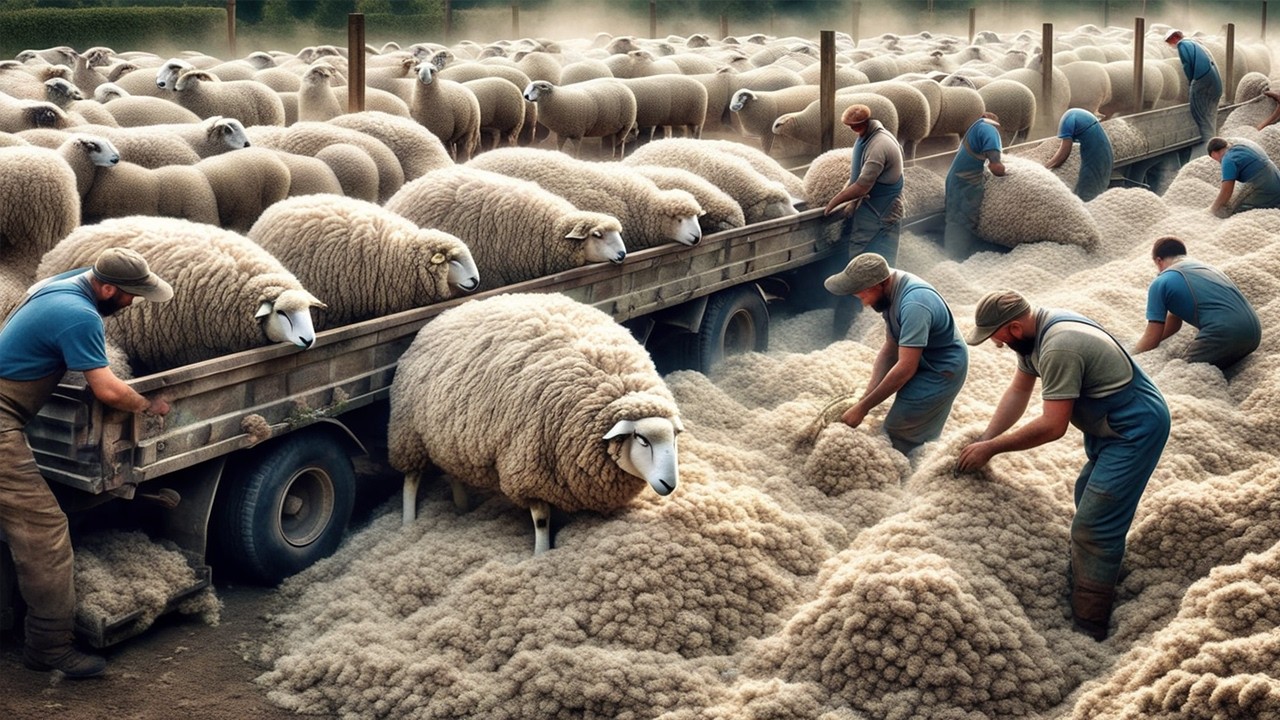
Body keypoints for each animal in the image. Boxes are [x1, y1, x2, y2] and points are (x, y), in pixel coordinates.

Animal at [390, 291, 682, 554]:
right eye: (642, 439)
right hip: (409, 435)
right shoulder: (530, 471)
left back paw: (462, 507)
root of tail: (445, 315)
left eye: (674, 437)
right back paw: (408, 524)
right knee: (410, 480)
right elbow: (541, 520)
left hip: (449, 438)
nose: (670, 484)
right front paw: (541, 554)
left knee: (453, 472)